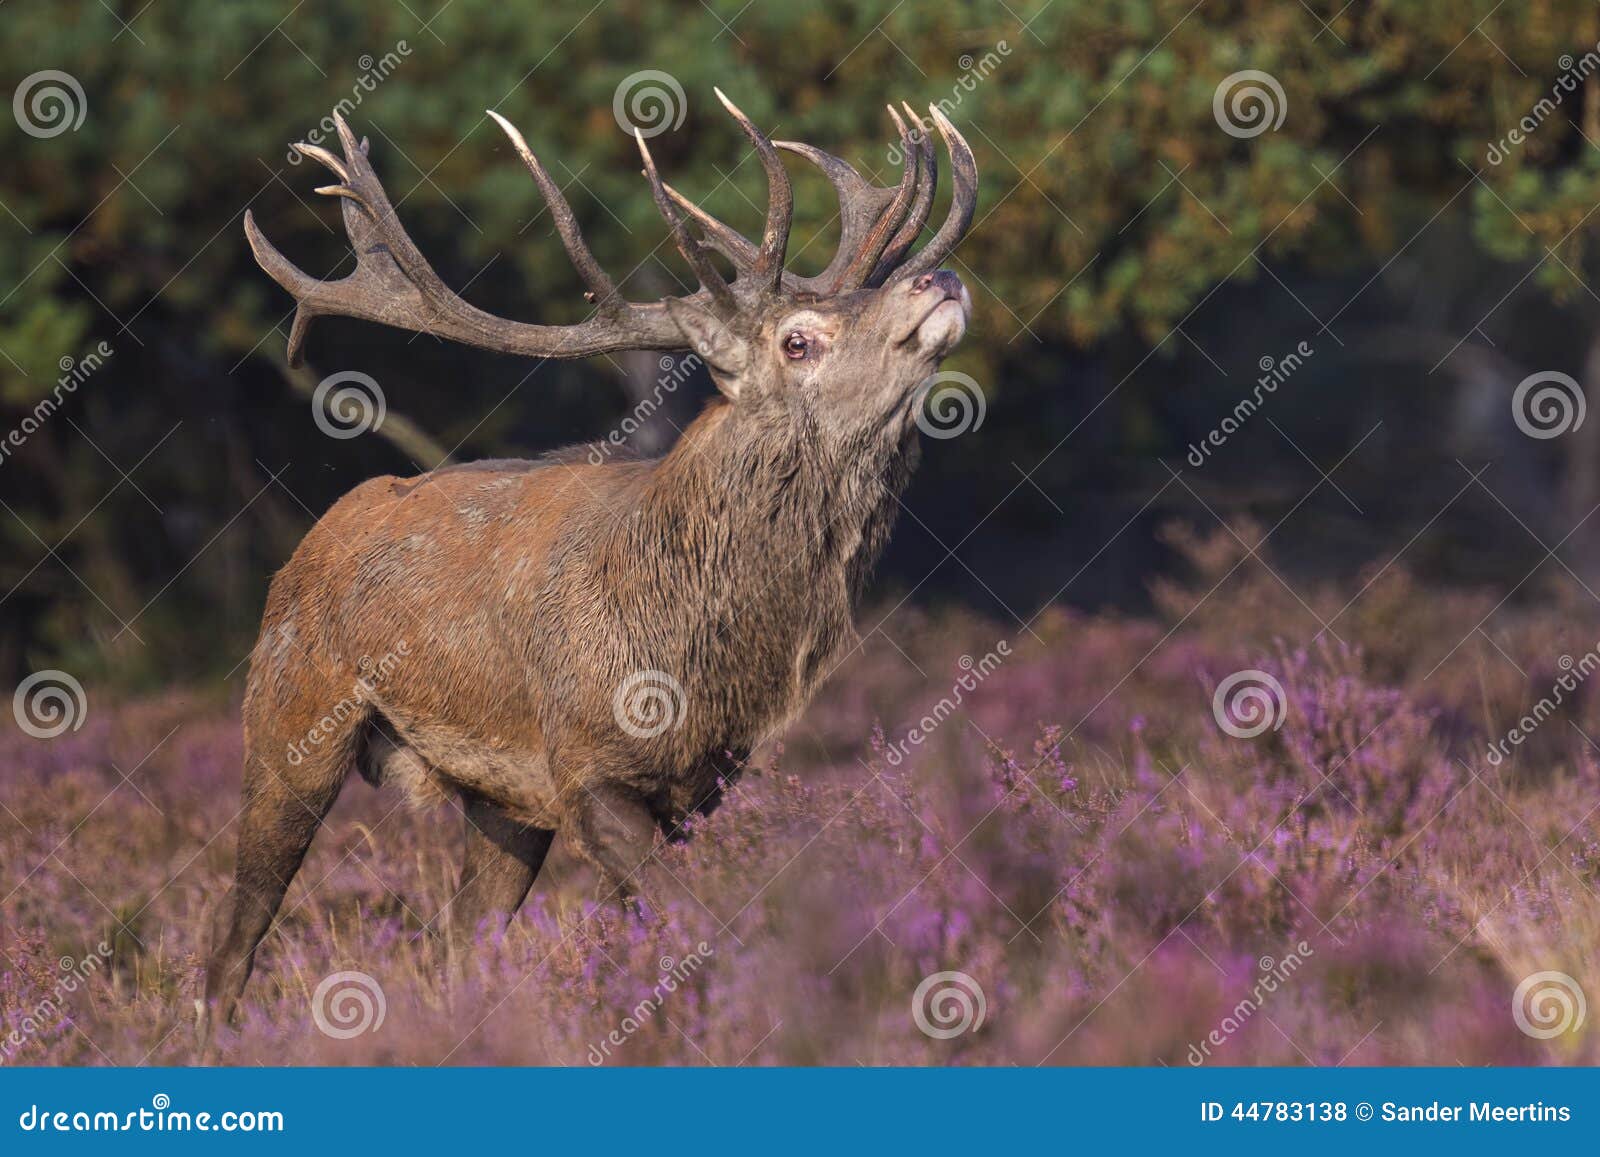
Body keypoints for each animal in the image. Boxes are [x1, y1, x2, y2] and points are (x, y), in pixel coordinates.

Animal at [203, 89, 977, 1033]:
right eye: (798, 340)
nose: (936, 280)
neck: (694, 659)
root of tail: (309, 544)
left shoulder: (705, 779)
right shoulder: (584, 764)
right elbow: (691, 912)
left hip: (500, 800)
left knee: (459, 937)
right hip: (291, 716)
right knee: (234, 930)